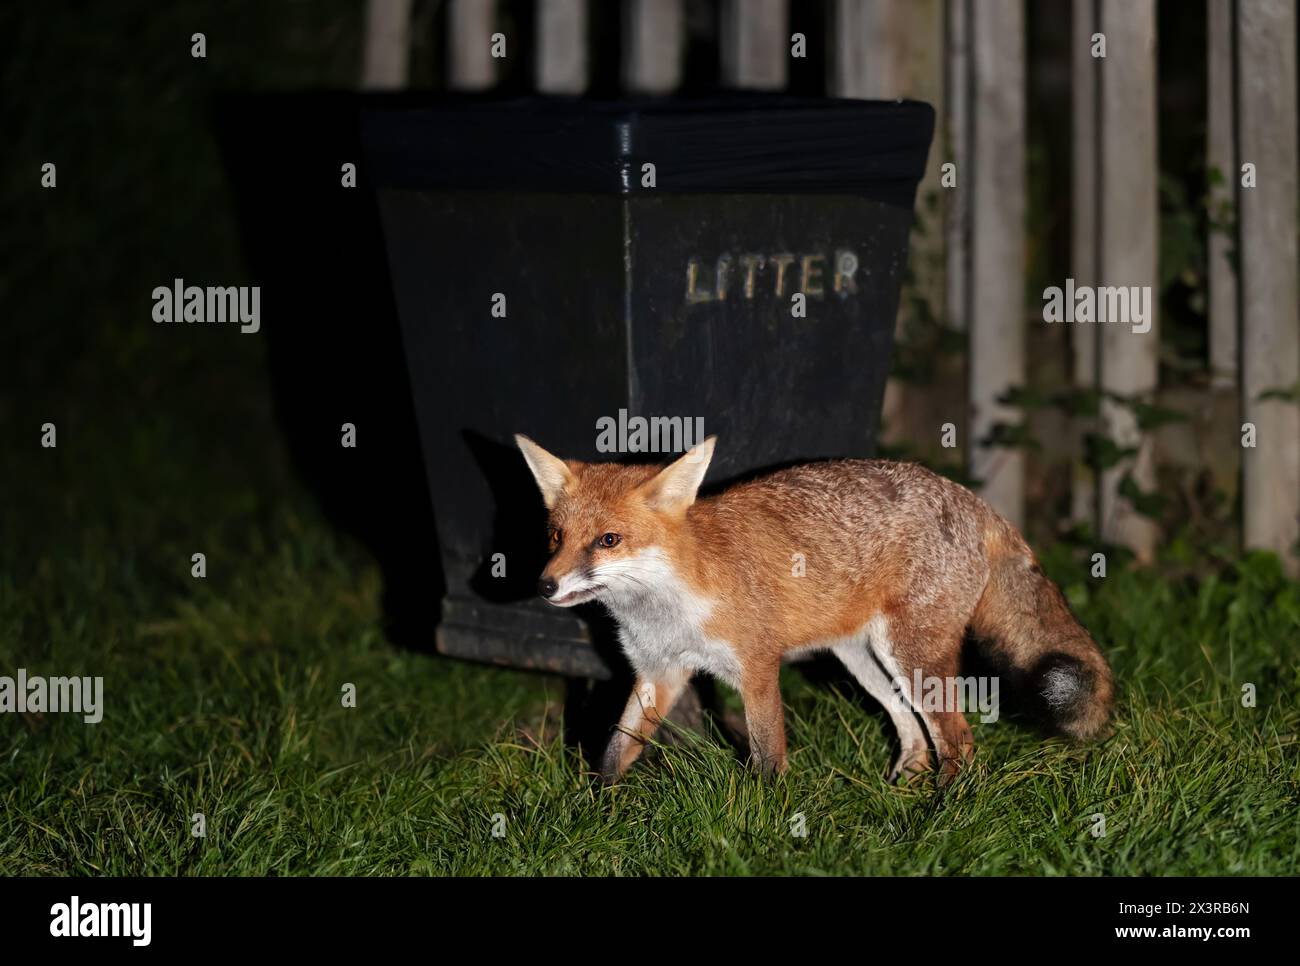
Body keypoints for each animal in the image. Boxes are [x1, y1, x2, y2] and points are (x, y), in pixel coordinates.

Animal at [514, 433, 1114, 785]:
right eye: (556, 536)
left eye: (609, 540)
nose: (543, 586)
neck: (667, 609)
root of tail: (973, 500)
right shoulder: (657, 673)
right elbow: (614, 754)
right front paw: (595, 813)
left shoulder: (756, 670)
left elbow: (767, 758)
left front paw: (763, 824)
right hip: (863, 659)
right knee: (910, 724)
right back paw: (907, 783)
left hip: (912, 656)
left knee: (960, 739)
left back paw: (944, 812)